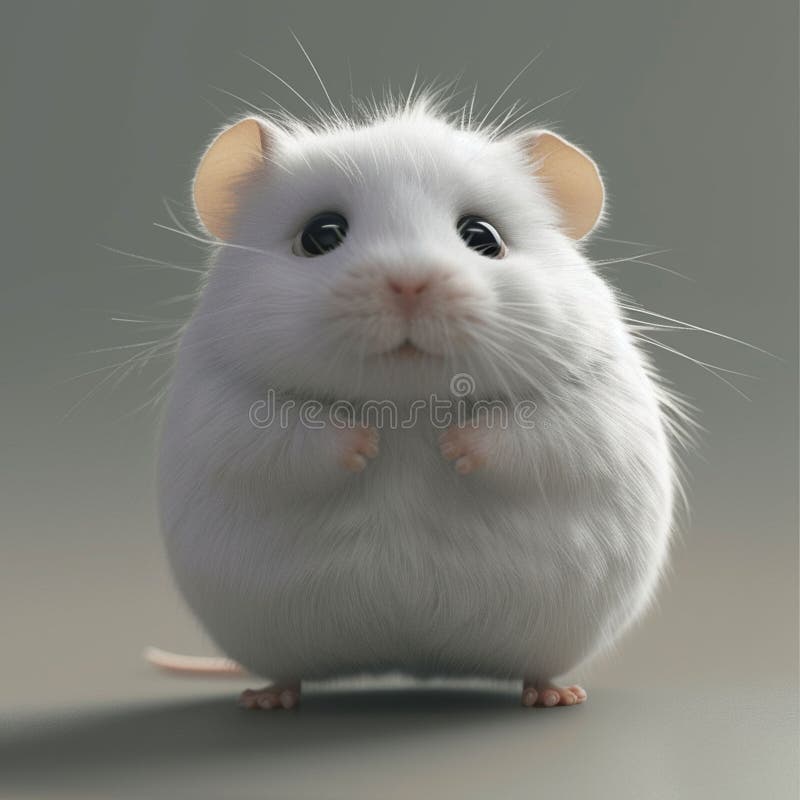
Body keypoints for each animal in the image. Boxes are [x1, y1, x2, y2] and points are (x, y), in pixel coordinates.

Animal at [155, 94, 676, 710]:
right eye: (320, 234)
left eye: (483, 236)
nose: (409, 285)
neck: (408, 399)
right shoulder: (225, 403)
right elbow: (284, 436)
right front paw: (367, 442)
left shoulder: (590, 400)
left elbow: (537, 435)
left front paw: (451, 445)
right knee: (286, 673)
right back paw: (269, 698)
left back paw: (554, 695)